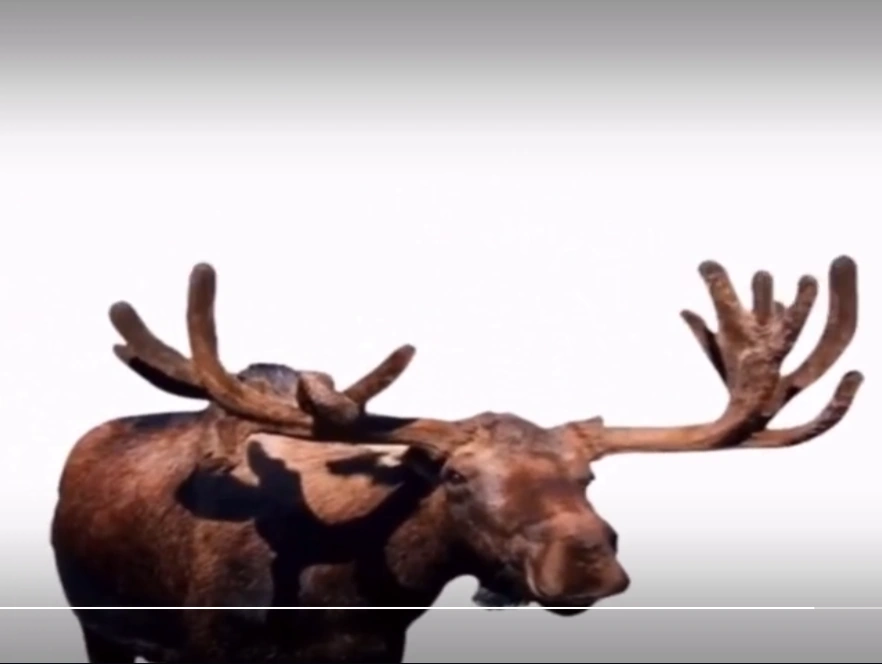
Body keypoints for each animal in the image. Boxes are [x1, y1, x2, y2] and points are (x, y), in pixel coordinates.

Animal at [51, 256, 862, 663]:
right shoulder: (210, 649)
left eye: (588, 476)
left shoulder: (377, 654)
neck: (349, 590)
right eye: (456, 478)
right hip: (98, 623)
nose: (588, 561)